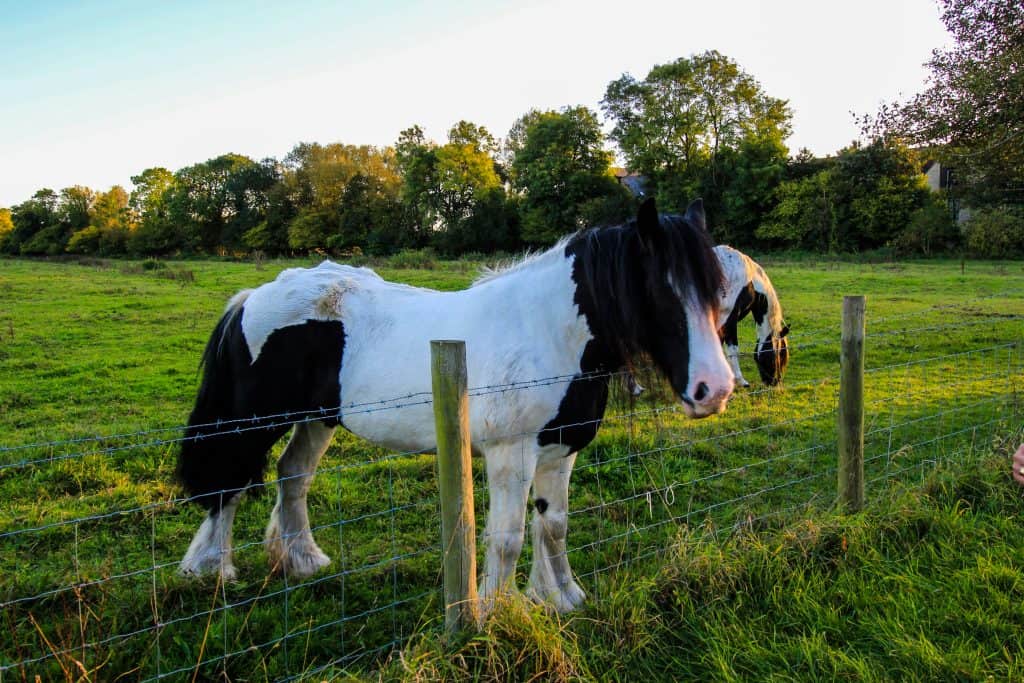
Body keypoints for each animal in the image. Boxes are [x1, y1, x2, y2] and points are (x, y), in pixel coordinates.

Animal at [176, 198, 734, 614]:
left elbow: (553, 525)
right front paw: (494, 611)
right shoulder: (511, 453)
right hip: (252, 421)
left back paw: (303, 559)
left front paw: (560, 597)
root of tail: (253, 295)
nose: (715, 389)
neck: (547, 330)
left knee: (293, 475)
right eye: (659, 289)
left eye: (717, 289)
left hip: (316, 420)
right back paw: (210, 569)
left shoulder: (560, 450)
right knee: (227, 483)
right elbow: (507, 536)